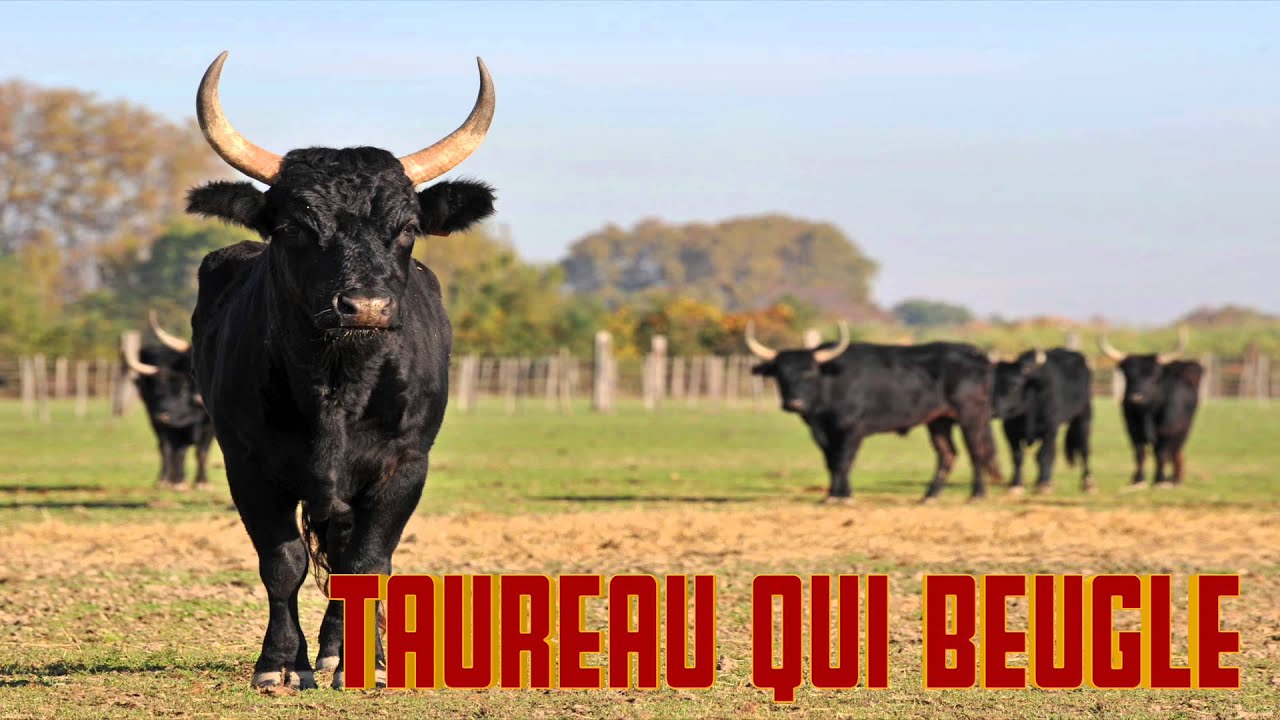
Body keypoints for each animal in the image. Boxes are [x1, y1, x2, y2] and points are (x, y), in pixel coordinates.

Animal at [119, 312, 215, 490]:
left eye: (183, 389)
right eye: (155, 391)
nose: (163, 414)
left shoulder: (208, 425)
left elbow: (201, 451)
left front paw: (202, 482)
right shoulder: (158, 421)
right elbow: (169, 449)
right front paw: (167, 481)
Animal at [183, 52, 496, 690]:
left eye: (406, 227)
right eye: (295, 227)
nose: (367, 306)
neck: (336, 385)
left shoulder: (403, 466)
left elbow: (366, 564)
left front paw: (357, 660)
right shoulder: (247, 466)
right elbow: (282, 563)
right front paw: (280, 664)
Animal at [746, 324, 1003, 502]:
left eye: (809, 372)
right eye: (780, 374)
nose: (794, 403)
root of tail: (975, 353)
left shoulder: (852, 429)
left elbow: (844, 460)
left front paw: (843, 496)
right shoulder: (821, 432)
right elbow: (831, 461)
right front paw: (832, 494)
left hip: (971, 416)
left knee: (976, 451)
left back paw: (977, 494)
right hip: (939, 421)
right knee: (947, 454)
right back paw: (930, 496)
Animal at [990, 347, 1094, 494]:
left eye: (1015, 385)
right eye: (991, 384)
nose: (991, 410)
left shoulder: (1049, 429)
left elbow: (1042, 455)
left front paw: (1043, 484)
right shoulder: (1010, 431)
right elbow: (1017, 456)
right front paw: (1016, 484)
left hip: (1083, 417)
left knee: (1084, 449)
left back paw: (1088, 483)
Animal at [1098, 327, 1202, 488]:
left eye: (1154, 375)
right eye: (1127, 374)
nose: (1136, 397)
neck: (1147, 413)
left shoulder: (1167, 430)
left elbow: (1161, 454)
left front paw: (1160, 480)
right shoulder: (1133, 431)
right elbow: (1140, 453)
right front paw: (1139, 480)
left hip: (1184, 430)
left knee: (1175, 451)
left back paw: (1175, 479)